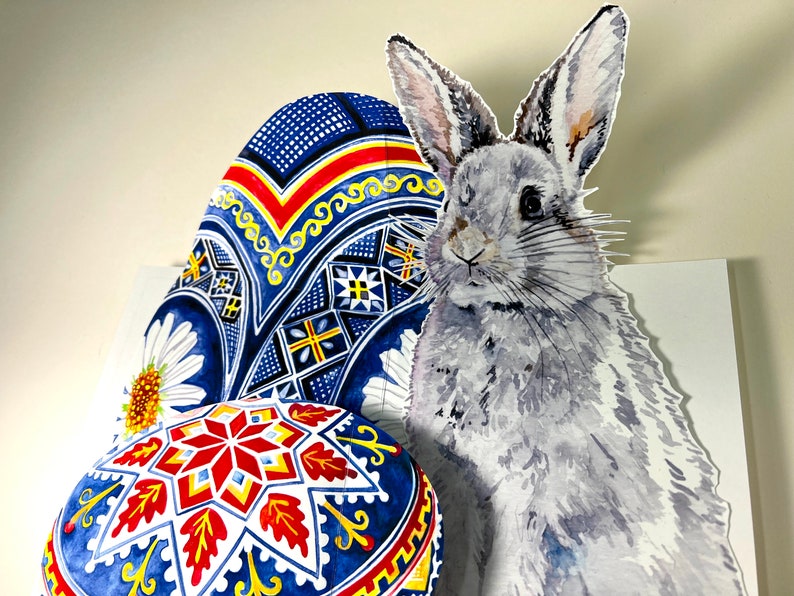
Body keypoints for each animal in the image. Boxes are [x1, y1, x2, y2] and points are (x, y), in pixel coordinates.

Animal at [382, 5, 746, 595]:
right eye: (456, 201)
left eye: (532, 204)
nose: (466, 248)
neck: (501, 317)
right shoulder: (459, 490)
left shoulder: (538, 502)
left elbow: (515, 570)